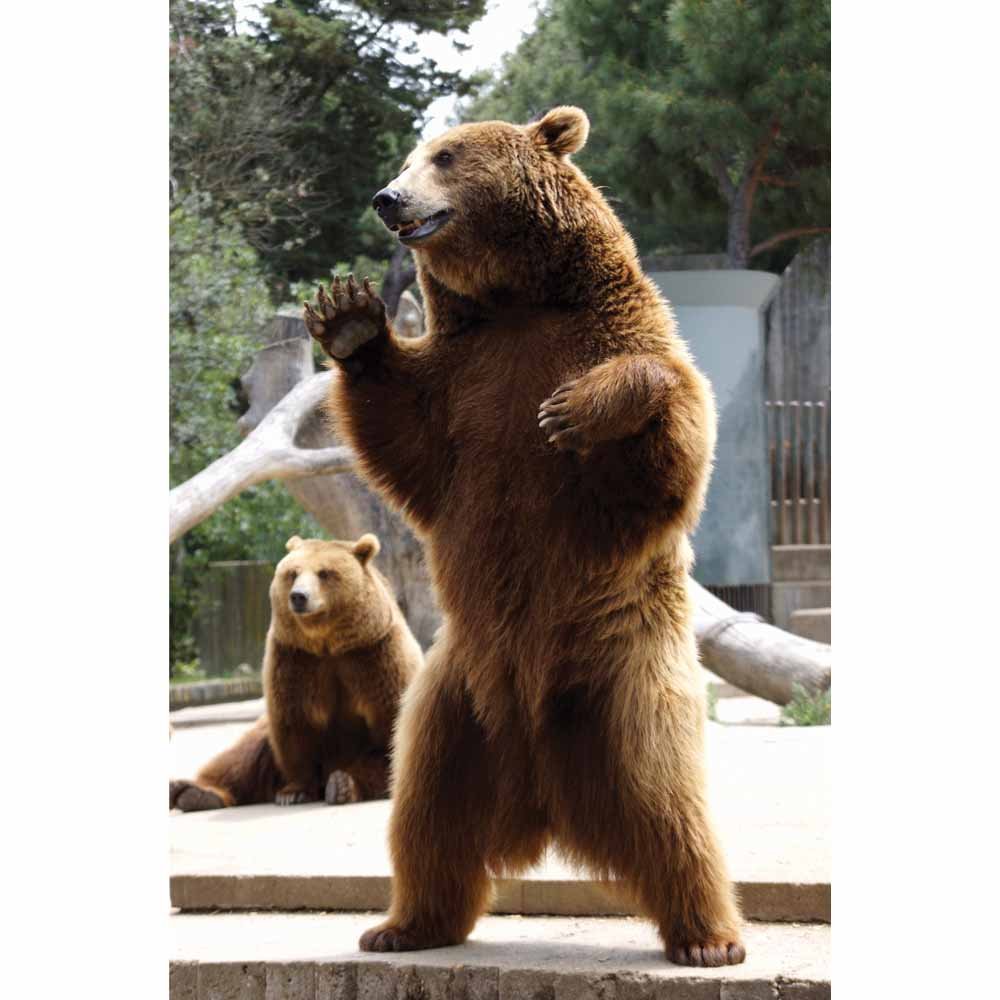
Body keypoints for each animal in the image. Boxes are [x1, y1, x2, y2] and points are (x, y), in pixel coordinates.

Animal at [169, 533, 423, 811]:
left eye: (325, 573)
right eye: (292, 573)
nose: (299, 596)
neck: (328, 644)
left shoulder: (375, 656)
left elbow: (388, 728)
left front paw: (343, 784)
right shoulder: (295, 660)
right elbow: (294, 723)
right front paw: (294, 792)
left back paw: (341, 785)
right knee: (241, 755)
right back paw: (195, 792)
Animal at [302, 106, 744, 967]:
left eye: (444, 155)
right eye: (410, 156)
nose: (388, 197)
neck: (517, 302)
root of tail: (543, 793)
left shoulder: (616, 338)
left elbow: (669, 443)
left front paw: (577, 409)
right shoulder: (462, 388)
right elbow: (404, 434)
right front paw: (349, 317)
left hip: (624, 673)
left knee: (670, 805)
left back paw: (709, 938)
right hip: (450, 700)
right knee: (426, 815)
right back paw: (403, 924)